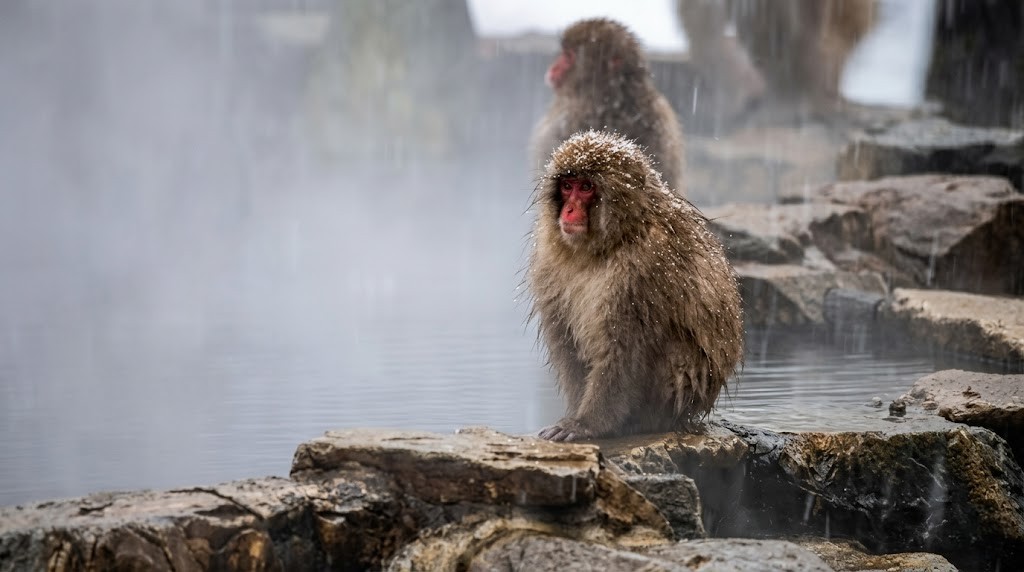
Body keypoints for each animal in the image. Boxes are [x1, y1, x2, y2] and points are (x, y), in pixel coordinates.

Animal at [528, 130, 743, 441]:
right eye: (567, 186)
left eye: (586, 187)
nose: (568, 210)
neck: (612, 242)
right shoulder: (548, 264)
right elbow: (566, 339)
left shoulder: (645, 267)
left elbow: (625, 350)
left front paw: (586, 424)